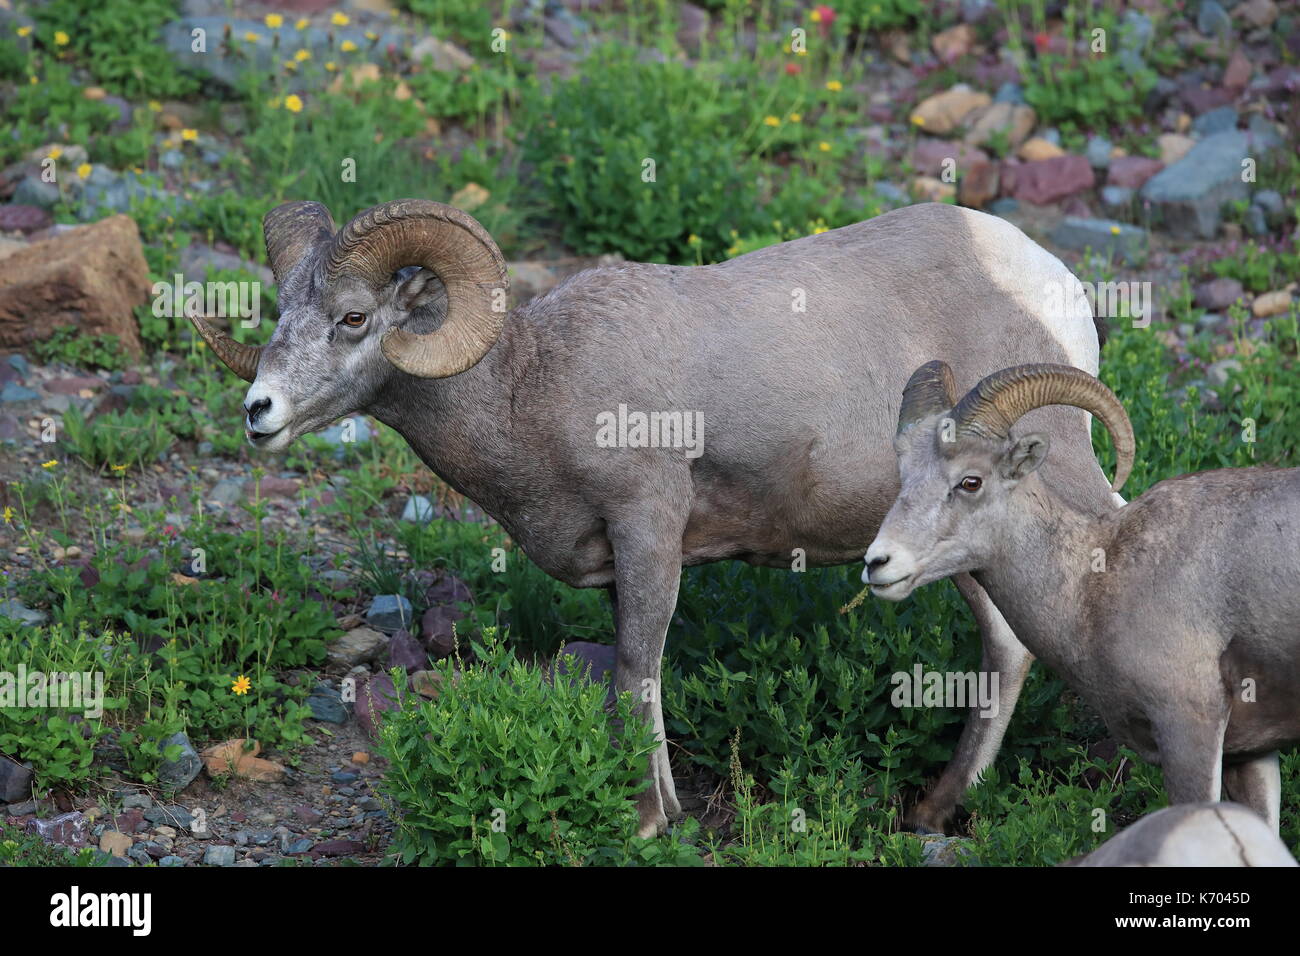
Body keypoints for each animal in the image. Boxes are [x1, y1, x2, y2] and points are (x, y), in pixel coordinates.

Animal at [190, 198, 1121, 837]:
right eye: (280, 315)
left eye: (353, 318)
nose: (259, 412)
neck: (534, 386)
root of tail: (1051, 284)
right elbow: (643, 676)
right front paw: (666, 810)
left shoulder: (647, 527)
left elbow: (639, 664)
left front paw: (643, 820)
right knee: (1007, 646)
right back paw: (934, 811)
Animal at [865, 360, 1300, 830]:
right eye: (904, 478)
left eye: (970, 481)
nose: (878, 562)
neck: (1092, 585)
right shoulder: (1249, 754)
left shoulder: (1189, 729)